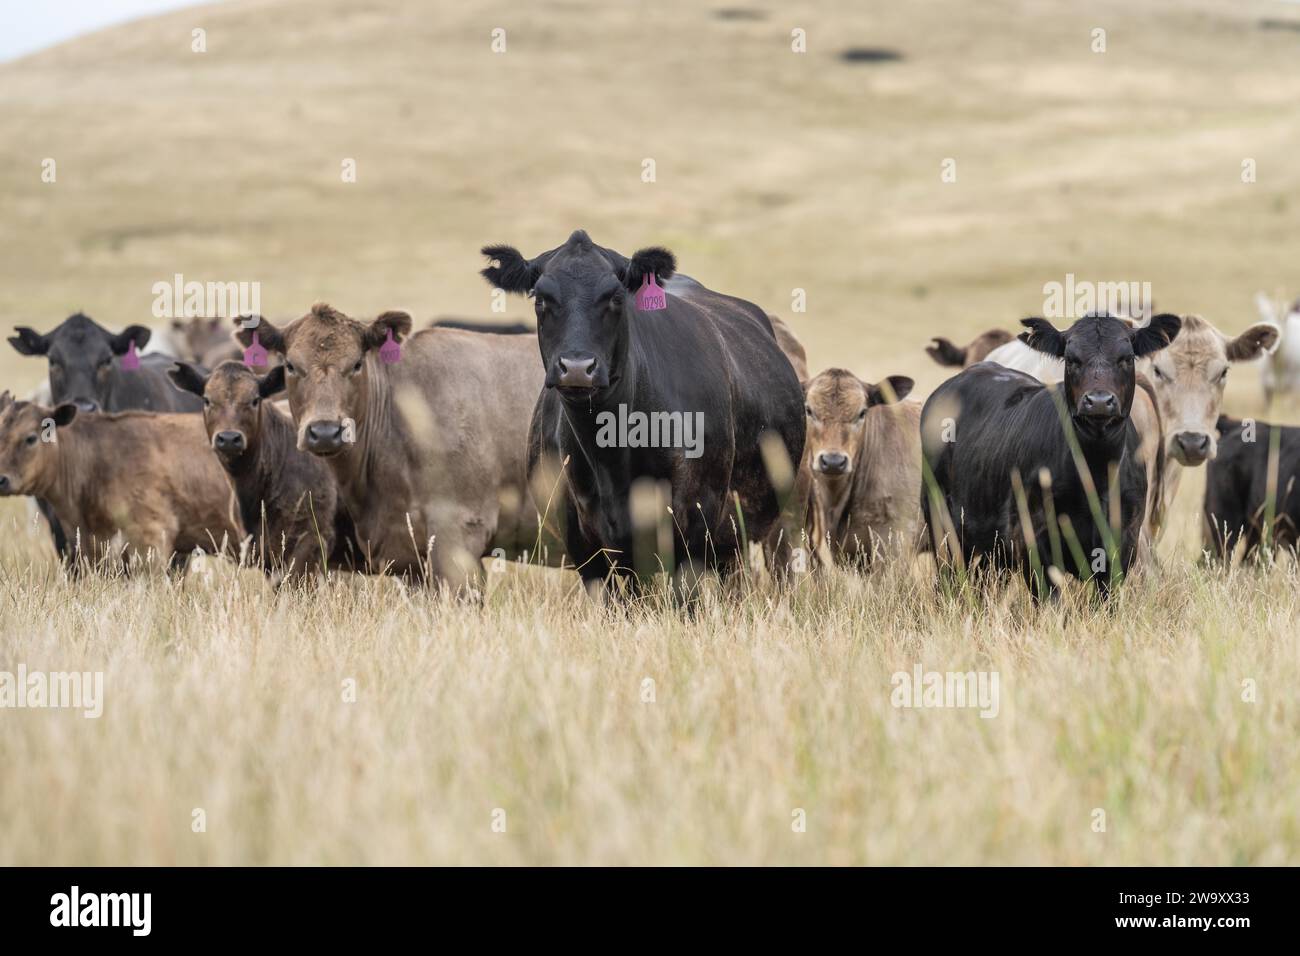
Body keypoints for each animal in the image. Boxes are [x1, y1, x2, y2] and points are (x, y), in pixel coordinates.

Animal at [920, 313, 1181, 598]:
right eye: (1071, 359)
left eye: (1127, 357)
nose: (1099, 401)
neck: (1095, 473)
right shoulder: (1033, 542)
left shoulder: (1123, 544)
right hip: (942, 523)